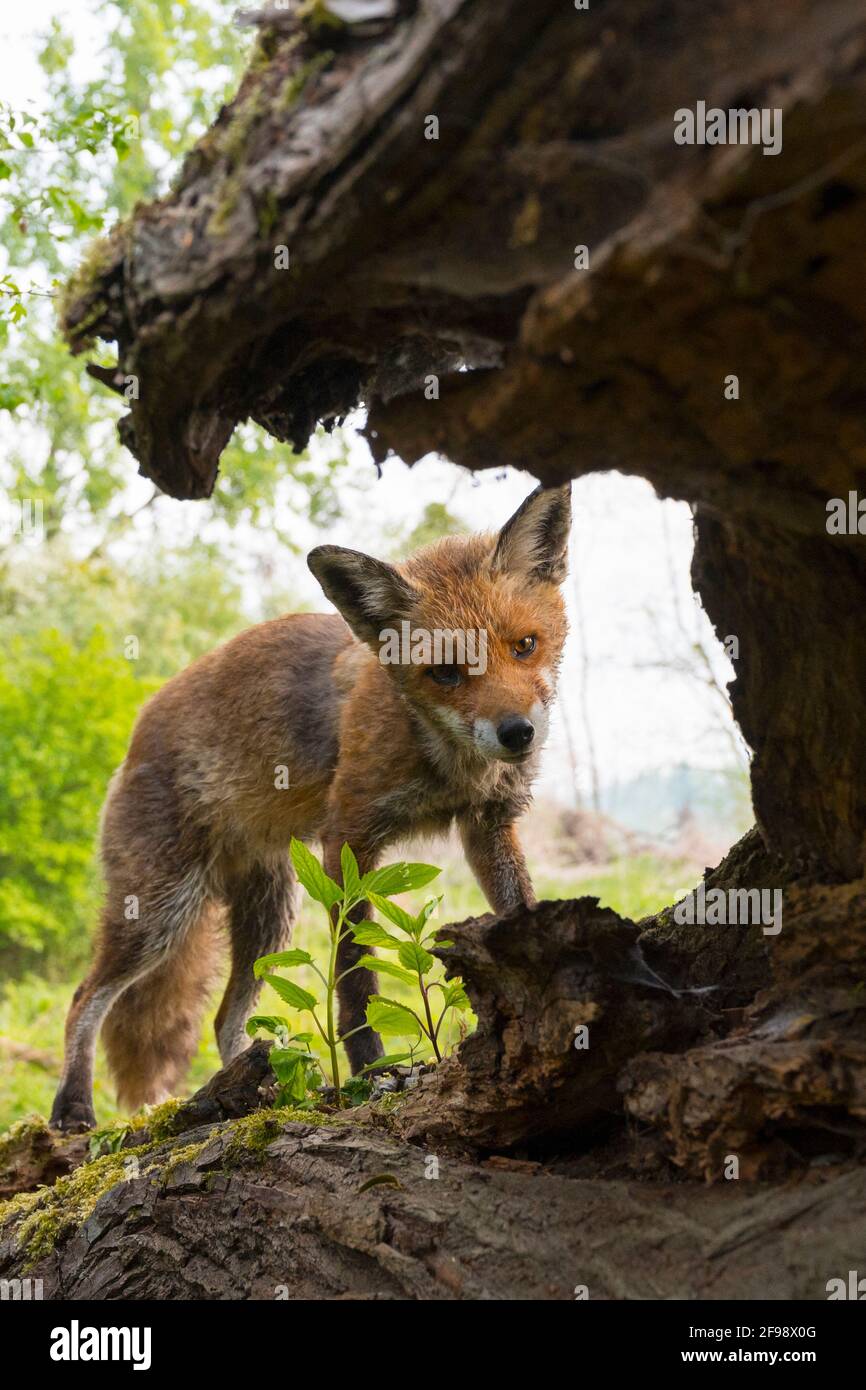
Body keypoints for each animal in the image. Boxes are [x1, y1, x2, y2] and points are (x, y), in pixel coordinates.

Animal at [50, 483, 571, 1132]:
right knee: (83, 1000)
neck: (447, 762)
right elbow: (355, 979)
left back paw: (260, 1090)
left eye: (525, 646)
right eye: (446, 673)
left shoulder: (488, 826)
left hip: (271, 918)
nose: (518, 734)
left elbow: (520, 912)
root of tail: (142, 722)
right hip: (161, 913)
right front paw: (373, 1072)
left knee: (225, 1020)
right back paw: (73, 1106)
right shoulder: (348, 839)